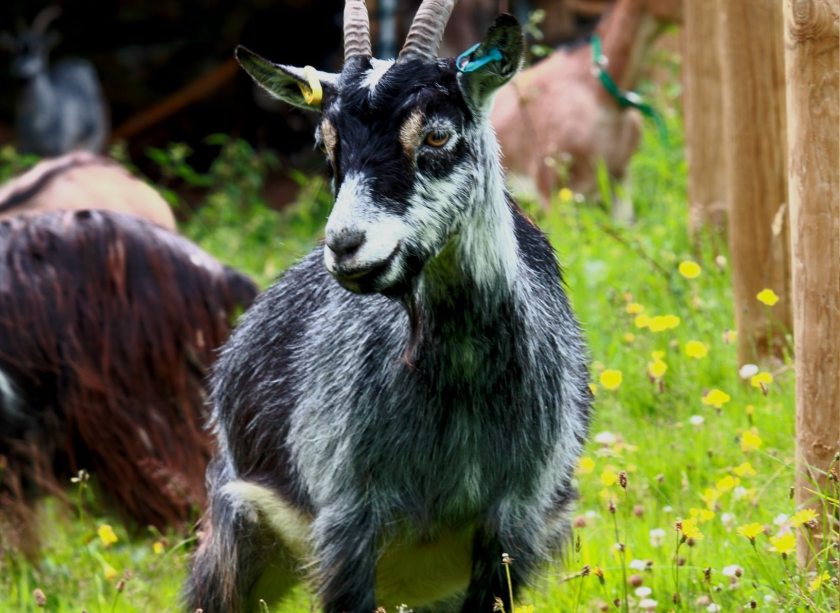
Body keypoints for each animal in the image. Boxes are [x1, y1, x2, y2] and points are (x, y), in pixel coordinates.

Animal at [0, 7, 109, 156]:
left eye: (40, 49)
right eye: (13, 51)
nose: (23, 72)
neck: (39, 123)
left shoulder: (60, 147)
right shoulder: (25, 147)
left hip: (94, 134)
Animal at [186, 2, 591, 612]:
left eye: (438, 134)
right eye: (326, 143)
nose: (345, 244)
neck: (460, 385)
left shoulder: (514, 522)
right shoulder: (347, 518)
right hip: (237, 527)